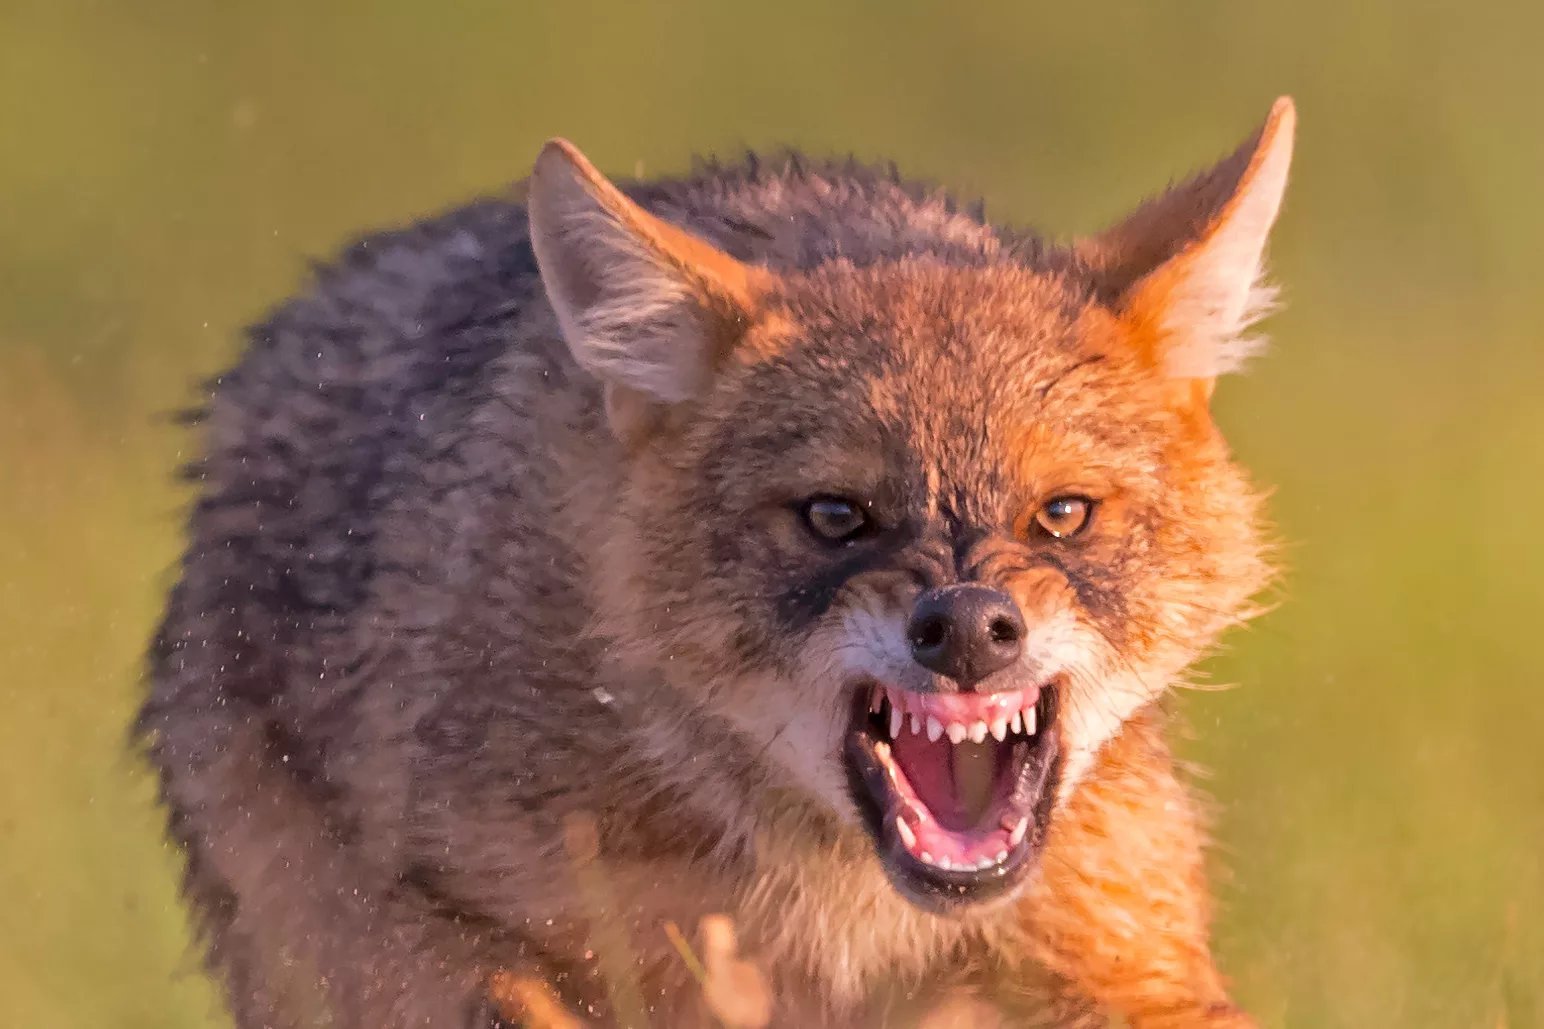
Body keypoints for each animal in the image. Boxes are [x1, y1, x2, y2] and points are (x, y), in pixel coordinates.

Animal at [138, 98, 1296, 1025]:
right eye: (835, 516)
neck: (836, 914)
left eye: (1060, 514)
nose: (968, 627)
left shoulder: (1124, 961)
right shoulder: (429, 930)